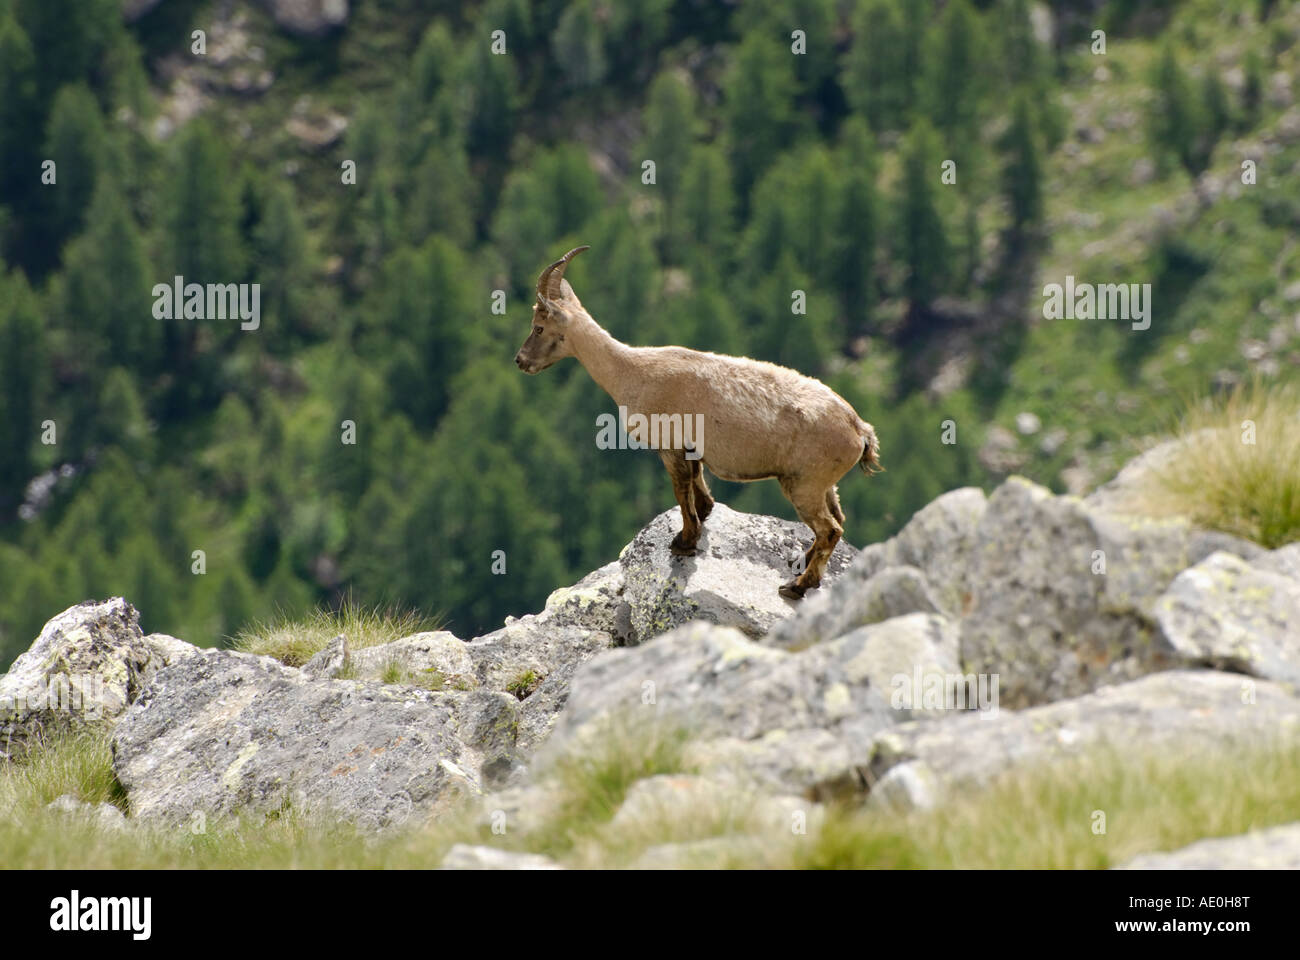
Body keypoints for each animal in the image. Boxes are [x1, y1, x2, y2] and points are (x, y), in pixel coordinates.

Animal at [515, 245, 881, 600]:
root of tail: (859, 429)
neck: (632, 371)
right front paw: (693, 531)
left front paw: (684, 543)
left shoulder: (670, 446)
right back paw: (801, 565)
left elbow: (682, 492)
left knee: (830, 529)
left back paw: (798, 586)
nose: (520, 360)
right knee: (837, 521)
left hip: (804, 483)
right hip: (825, 485)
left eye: (539, 327)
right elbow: (701, 494)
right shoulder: (693, 450)